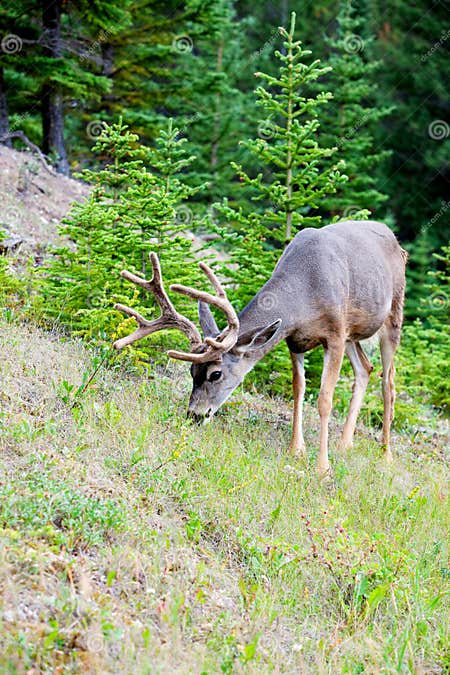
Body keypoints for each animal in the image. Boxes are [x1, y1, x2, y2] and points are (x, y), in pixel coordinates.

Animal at [113, 220, 407, 475]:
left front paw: (323, 468)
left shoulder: (334, 334)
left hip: (393, 313)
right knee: (365, 368)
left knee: (388, 383)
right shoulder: (294, 339)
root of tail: (394, 239)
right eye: (191, 372)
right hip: (353, 333)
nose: (194, 415)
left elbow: (324, 399)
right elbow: (298, 389)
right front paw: (296, 450)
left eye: (216, 373)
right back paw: (345, 444)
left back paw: (386, 455)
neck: (304, 293)